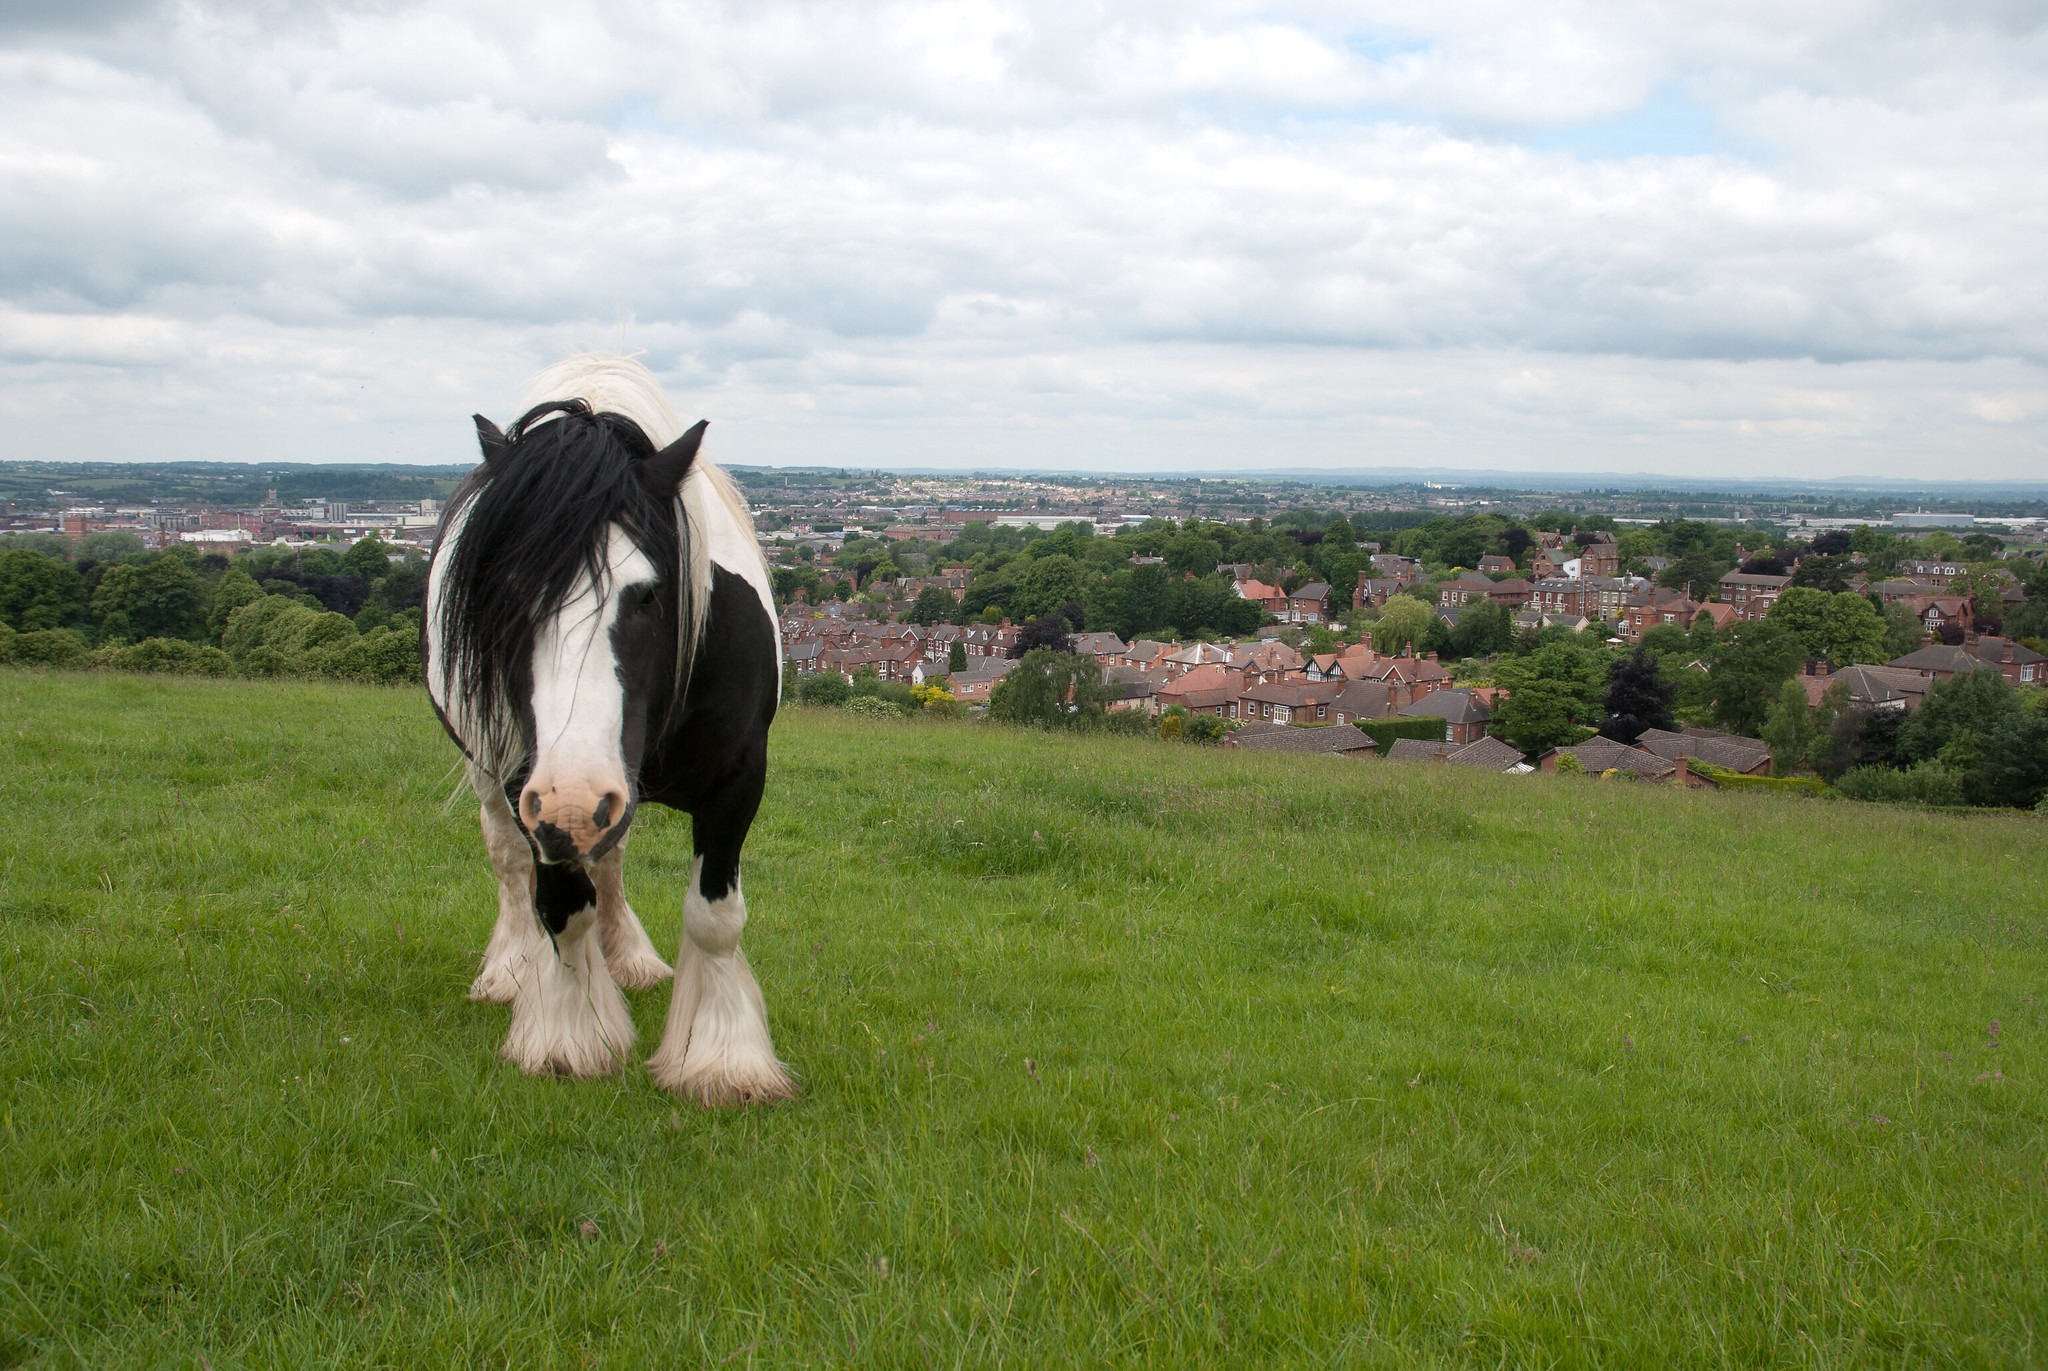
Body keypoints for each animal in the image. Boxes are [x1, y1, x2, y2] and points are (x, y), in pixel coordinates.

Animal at [423, 354, 792, 1105]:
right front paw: (569, 1035)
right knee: (511, 865)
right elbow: (562, 904)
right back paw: (511, 969)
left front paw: (722, 1059)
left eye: (647, 593)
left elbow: (714, 917)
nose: (573, 800)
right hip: (500, 777)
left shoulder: (738, 777)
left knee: (611, 860)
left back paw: (630, 960)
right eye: (503, 591)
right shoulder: (533, 788)